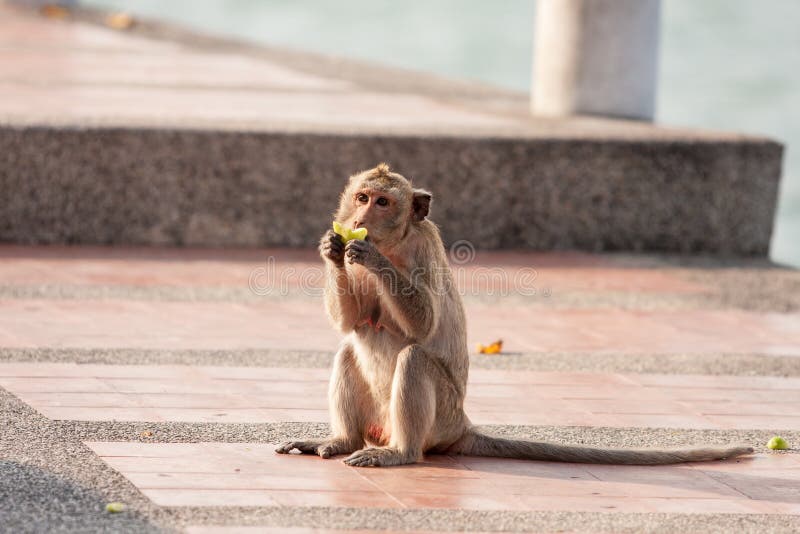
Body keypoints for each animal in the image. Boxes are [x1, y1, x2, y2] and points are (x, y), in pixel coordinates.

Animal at [277, 163, 753, 467]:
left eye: (381, 202)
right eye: (361, 197)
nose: (359, 214)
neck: (396, 243)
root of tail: (461, 426)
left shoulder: (422, 250)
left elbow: (423, 324)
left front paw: (369, 254)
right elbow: (350, 323)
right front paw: (332, 250)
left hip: (440, 417)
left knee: (414, 360)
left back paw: (400, 454)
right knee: (347, 349)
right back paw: (342, 440)